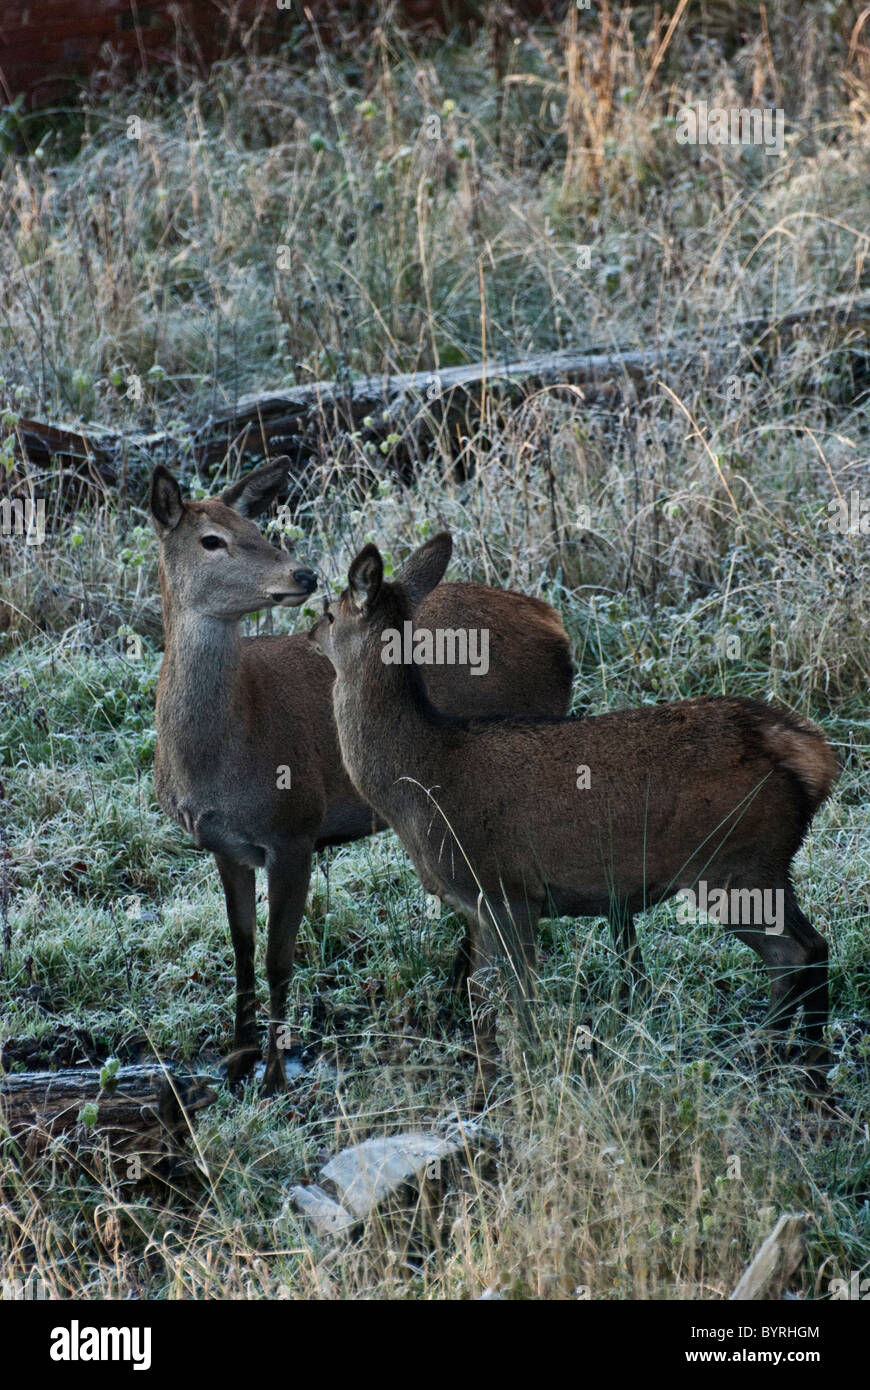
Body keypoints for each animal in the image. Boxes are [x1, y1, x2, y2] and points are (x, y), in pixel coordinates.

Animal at [148, 460, 573, 1093]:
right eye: (212, 539)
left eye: (256, 526)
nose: (303, 573)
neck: (219, 757)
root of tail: (558, 626)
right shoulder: (224, 845)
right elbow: (241, 950)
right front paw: (235, 1061)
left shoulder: (295, 827)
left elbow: (278, 958)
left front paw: (274, 1074)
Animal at [310, 538, 839, 1108]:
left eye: (329, 610)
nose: (309, 633)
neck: (419, 784)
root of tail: (813, 754)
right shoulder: (476, 907)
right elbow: (480, 998)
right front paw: (486, 1085)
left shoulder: (508, 892)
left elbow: (516, 1000)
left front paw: (522, 1079)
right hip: (764, 865)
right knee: (813, 947)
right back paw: (798, 1063)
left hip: (734, 863)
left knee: (794, 952)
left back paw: (768, 1057)